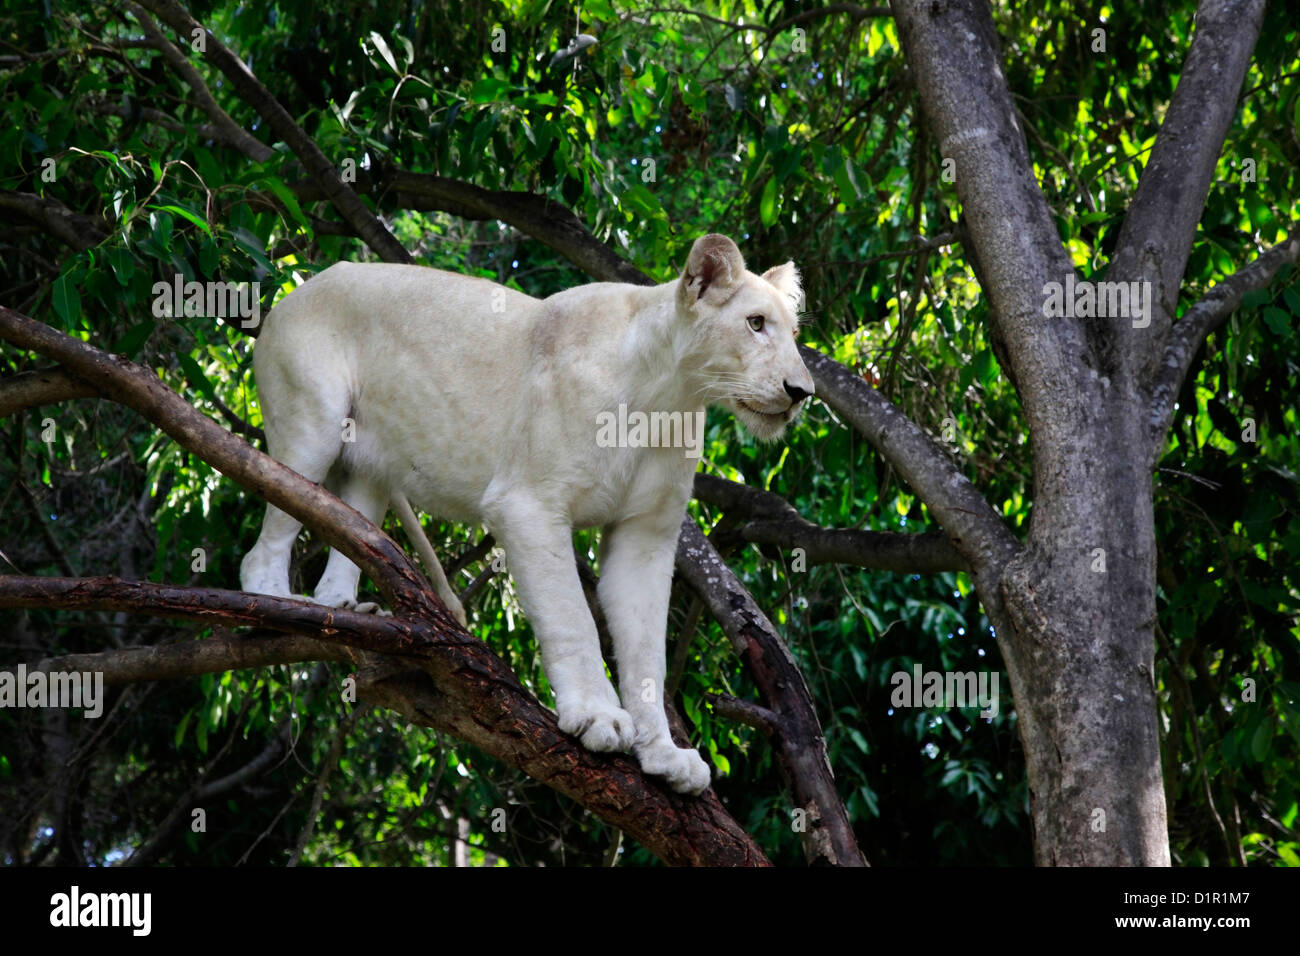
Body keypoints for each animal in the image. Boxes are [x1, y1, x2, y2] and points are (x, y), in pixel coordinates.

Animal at [240, 234, 814, 794]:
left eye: (791, 333)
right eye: (755, 324)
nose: (802, 392)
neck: (668, 399)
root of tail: (295, 290)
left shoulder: (645, 534)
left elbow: (647, 649)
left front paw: (665, 756)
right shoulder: (528, 504)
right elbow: (572, 618)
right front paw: (599, 718)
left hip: (368, 468)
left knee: (353, 526)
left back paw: (345, 608)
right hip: (311, 424)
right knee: (269, 530)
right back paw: (274, 601)